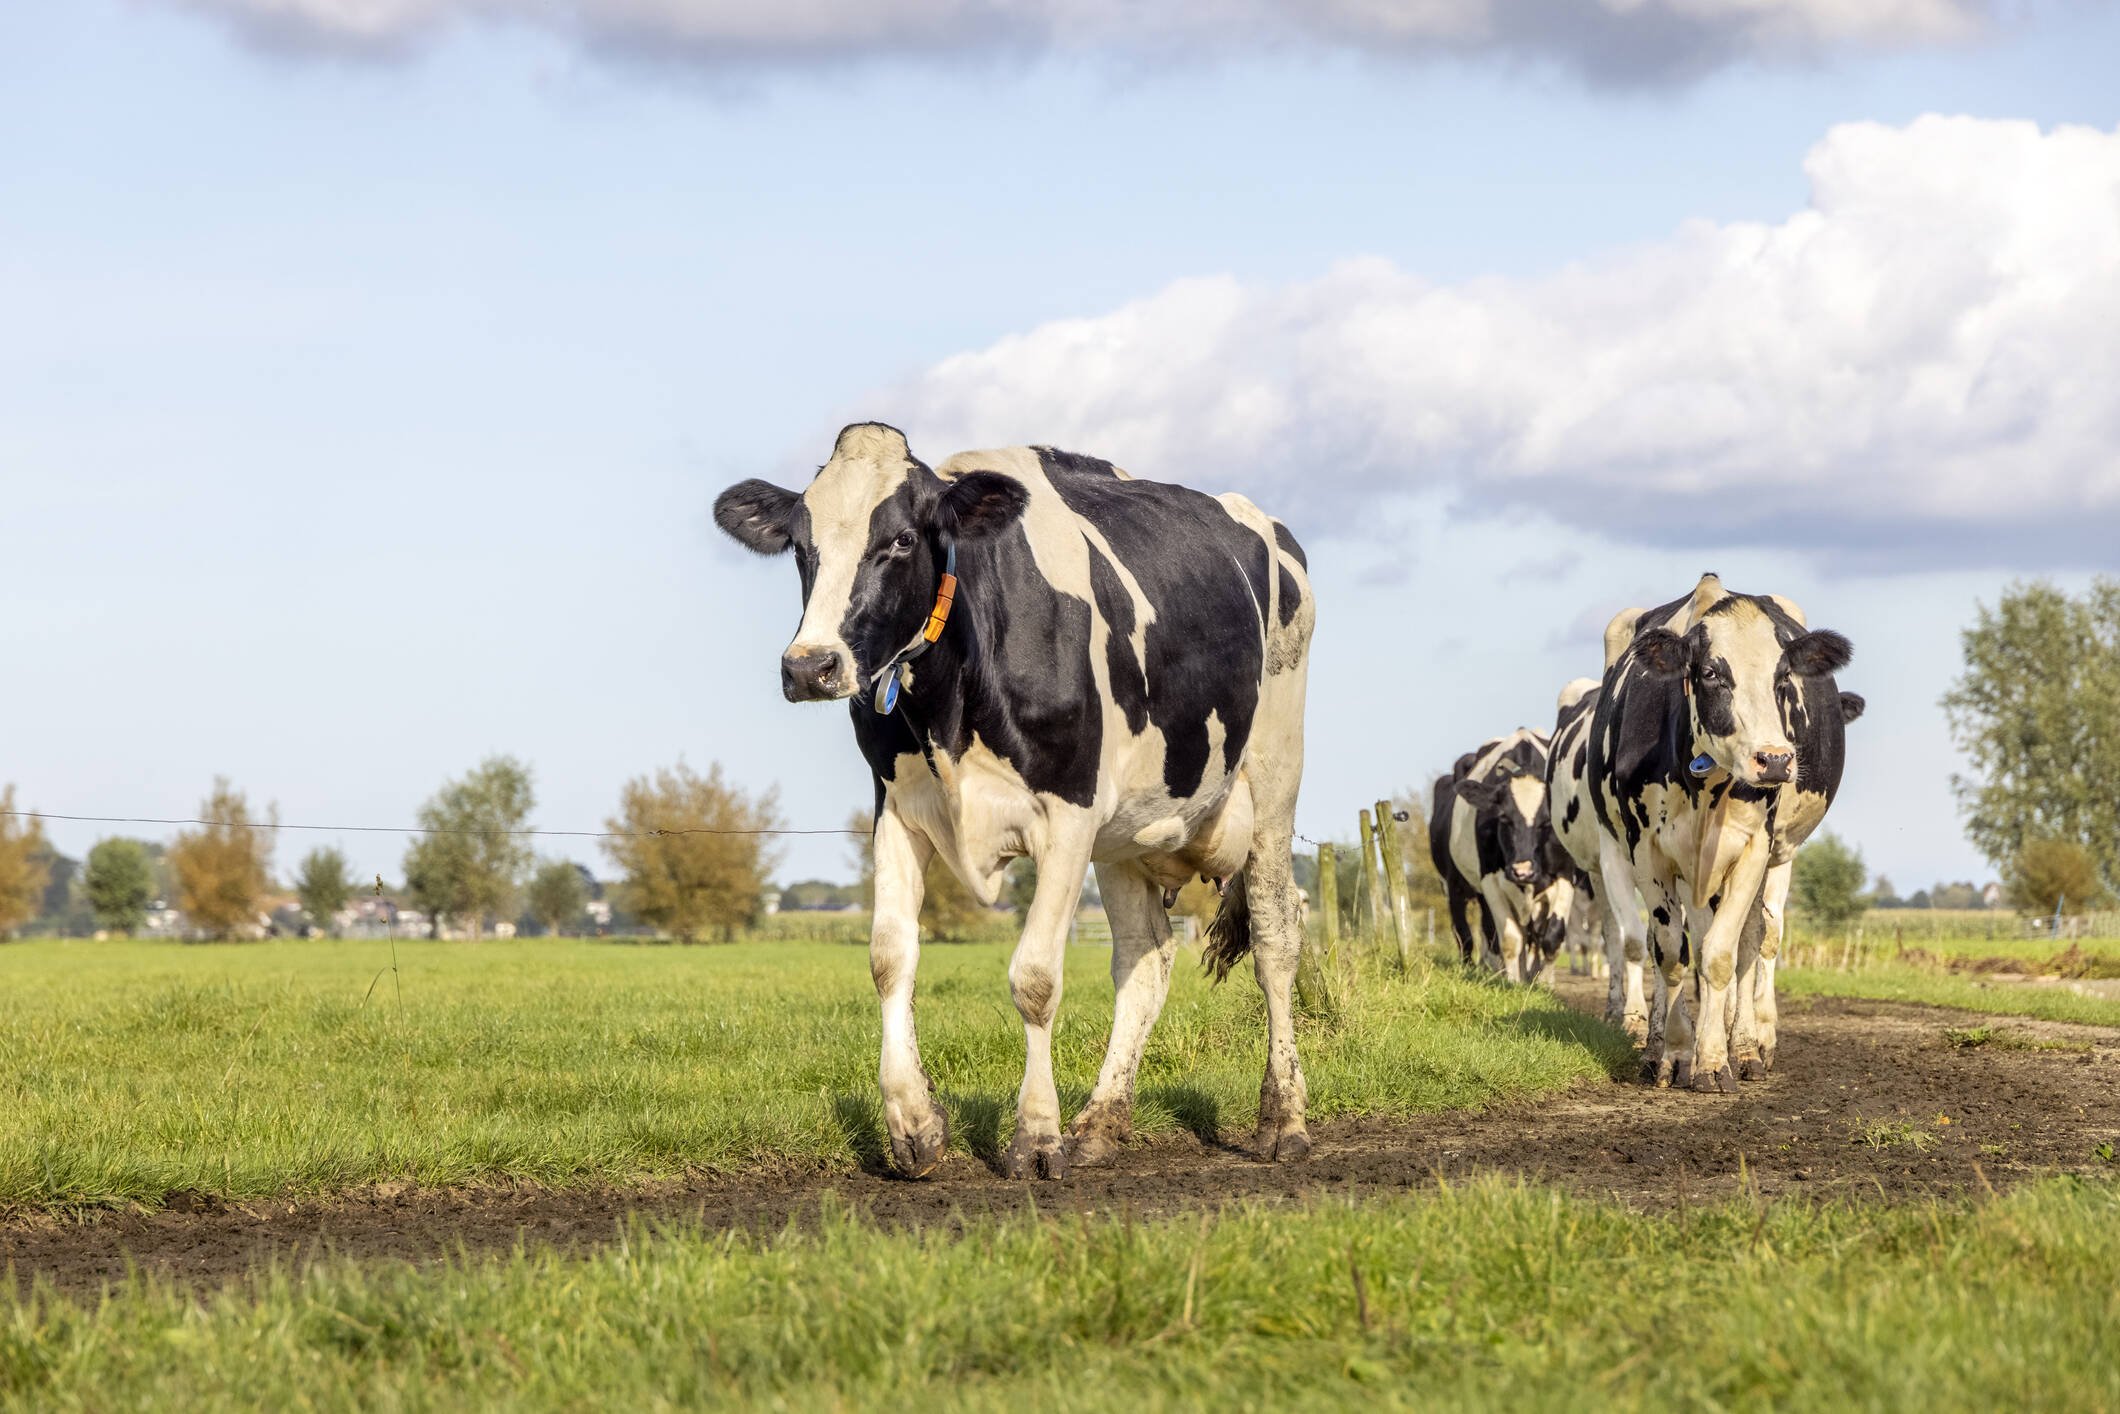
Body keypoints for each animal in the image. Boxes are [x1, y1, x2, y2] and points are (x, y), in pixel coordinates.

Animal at [713, 423, 1316, 1179]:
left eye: (902, 540)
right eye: (801, 543)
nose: (808, 666)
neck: (948, 701)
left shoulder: (1069, 814)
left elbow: (1033, 977)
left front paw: (1034, 1137)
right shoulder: (896, 809)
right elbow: (889, 958)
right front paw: (913, 1124)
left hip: (1273, 777)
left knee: (1275, 937)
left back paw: (1283, 1120)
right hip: (1129, 830)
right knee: (1144, 957)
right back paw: (1101, 1123)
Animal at [1427, 729, 1576, 983]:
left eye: (1547, 821)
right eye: (1504, 818)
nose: (1522, 871)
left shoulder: (1567, 874)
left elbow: (1551, 939)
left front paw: (1543, 982)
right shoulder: (1489, 880)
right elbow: (1509, 939)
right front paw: (1513, 983)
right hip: (1454, 885)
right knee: (1470, 935)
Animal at [1588, 573, 1856, 1091]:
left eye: (1782, 678)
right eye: (1711, 673)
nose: (1776, 760)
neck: (1703, 781)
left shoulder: (1754, 848)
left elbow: (1719, 956)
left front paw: (1713, 1059)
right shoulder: (1647, 851)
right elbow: (1671, 954)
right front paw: (1673, 1053)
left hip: (1776, 855)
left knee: (1753, 941)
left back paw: (1747, 1046)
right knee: (1668, 943)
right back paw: (1659, 1046)